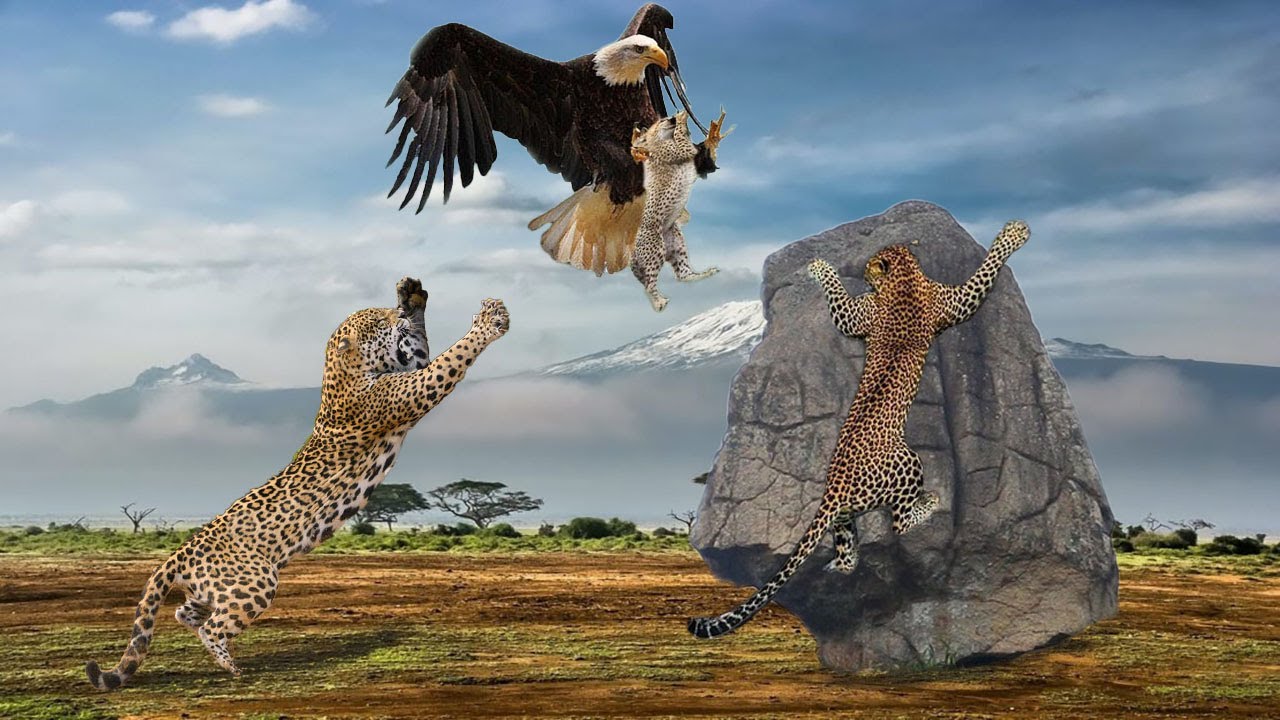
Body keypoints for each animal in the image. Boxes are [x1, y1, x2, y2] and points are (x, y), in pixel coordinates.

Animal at [85, 277, 510, 690]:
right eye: (377, 321)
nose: (397, 313)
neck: (340, 371)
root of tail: (179, 553)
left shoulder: (407, 371)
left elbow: (423, 350)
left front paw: (413, 295)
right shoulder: (411, 391)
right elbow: (451, 358)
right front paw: (489, 321)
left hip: (210, 590)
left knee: (183, 613)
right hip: (255, 582)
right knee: (212, 627)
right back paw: (232, 667)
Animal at [628, 109, 725, 312]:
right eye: (662, 121)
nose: (671, 118)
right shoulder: (682, 150)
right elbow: (682, 138)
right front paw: (682, 118)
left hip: (677, 244)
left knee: (683, 275)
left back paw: (706, 272)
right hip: (655, 251)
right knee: (649, 284)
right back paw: (659, 302)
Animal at [688, 220, 1031, 639]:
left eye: (871, 264)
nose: (866, 274)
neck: (904, 279)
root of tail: (833, 487)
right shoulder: (943, 303)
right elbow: (984, 272)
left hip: (846, 512)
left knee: (848, 541)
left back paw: (841, 564)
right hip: (908, 460)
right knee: (899, 522)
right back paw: (930, 501)